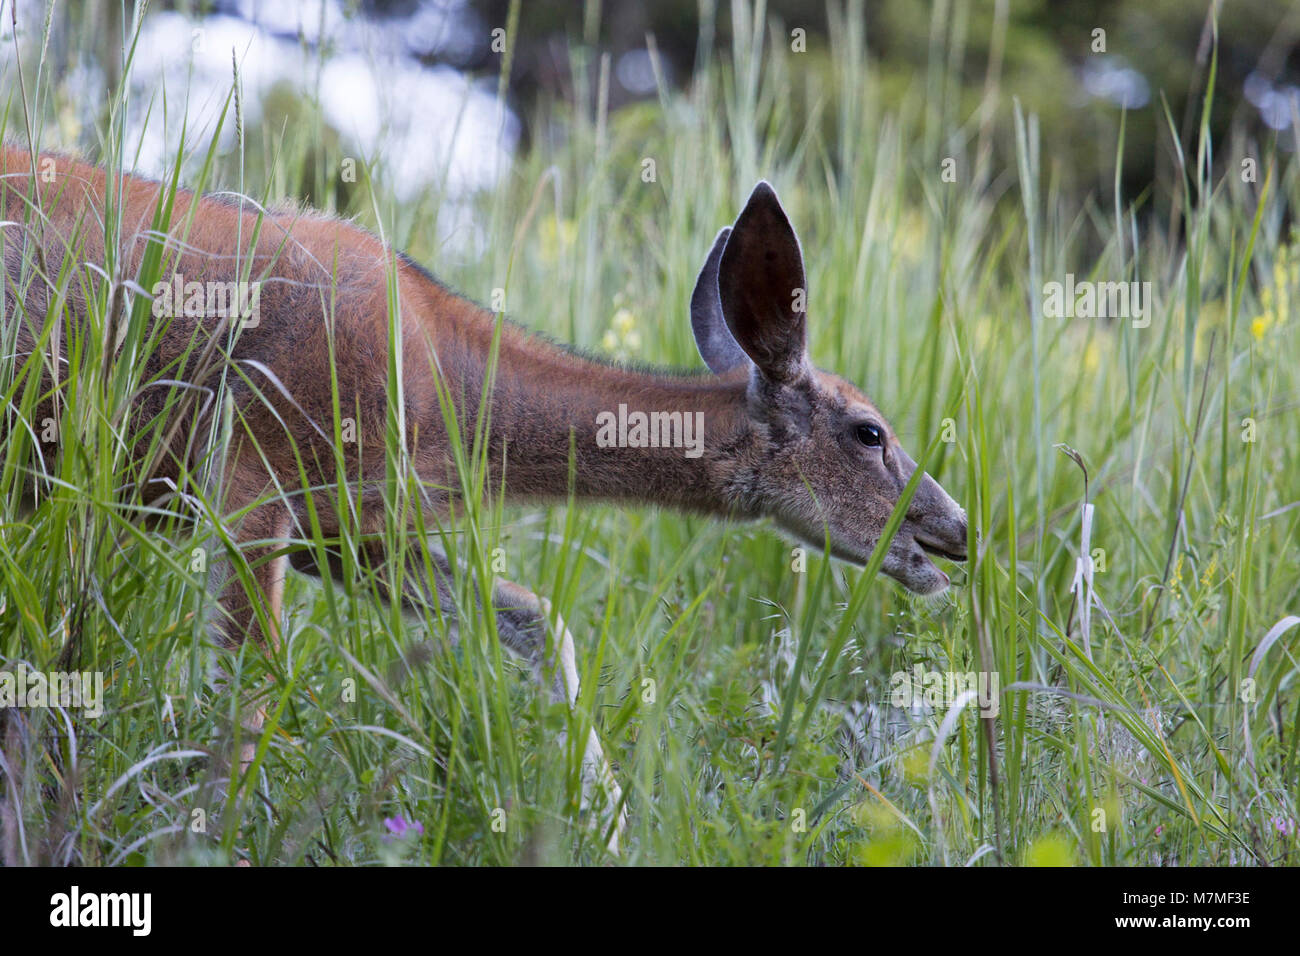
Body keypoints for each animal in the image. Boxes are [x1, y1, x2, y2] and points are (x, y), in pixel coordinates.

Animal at [0, 146, 968, 854]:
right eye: (870, 433)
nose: (955, 530)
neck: (449, 409)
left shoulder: (349, 533)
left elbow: (537, 619)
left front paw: (609, 826)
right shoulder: (251, 474)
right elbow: (254, 687)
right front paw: (213, 839)